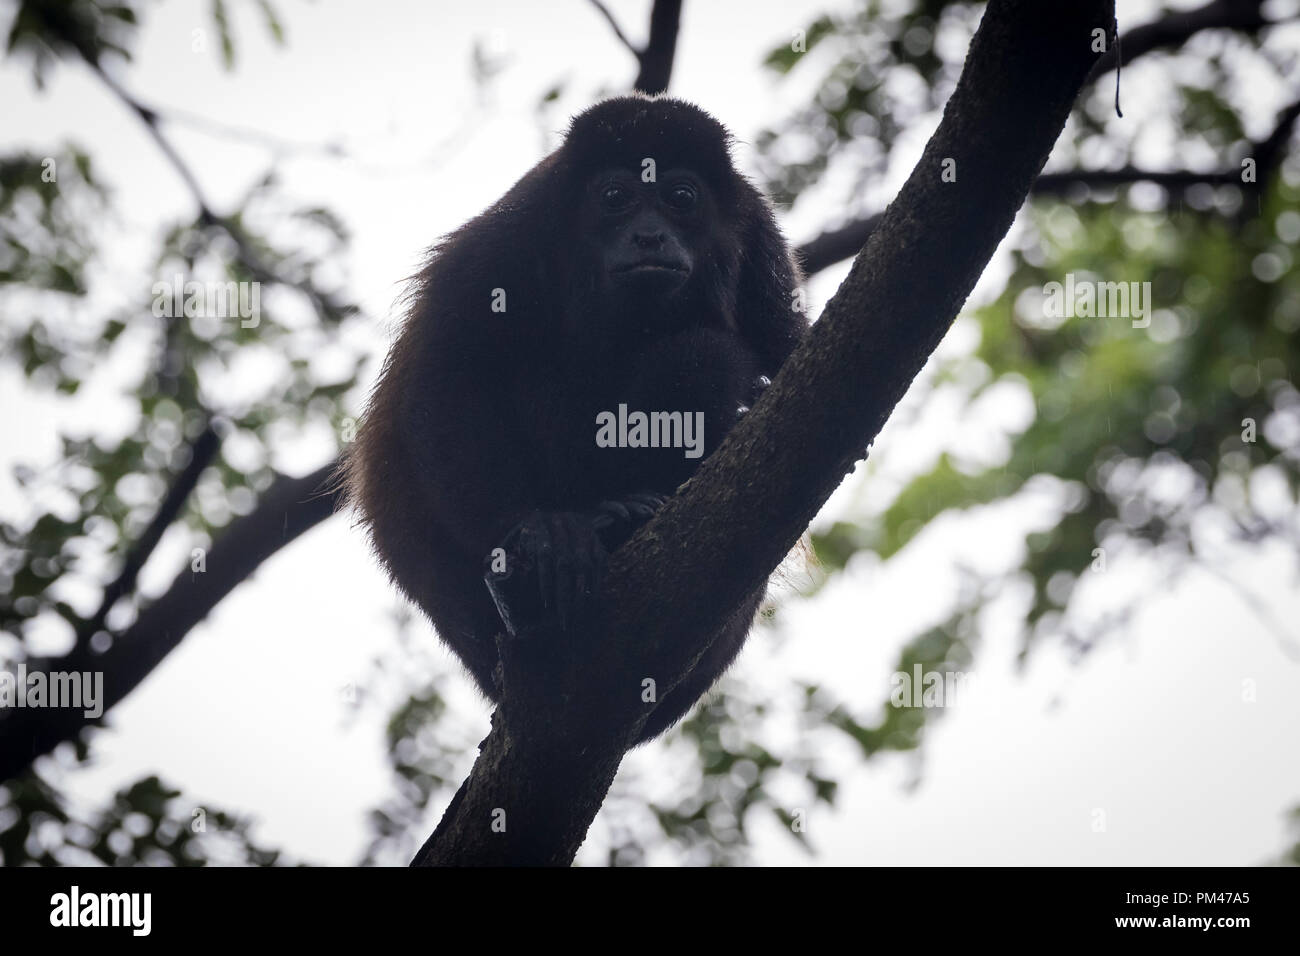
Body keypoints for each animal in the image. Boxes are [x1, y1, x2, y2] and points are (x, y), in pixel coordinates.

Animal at [346, 95, 806, 743]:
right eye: (614, 196)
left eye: (681, 197)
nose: (649, 234)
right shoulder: (510, 233)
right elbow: (447, 380)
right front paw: (538, 534)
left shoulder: (761, 237)